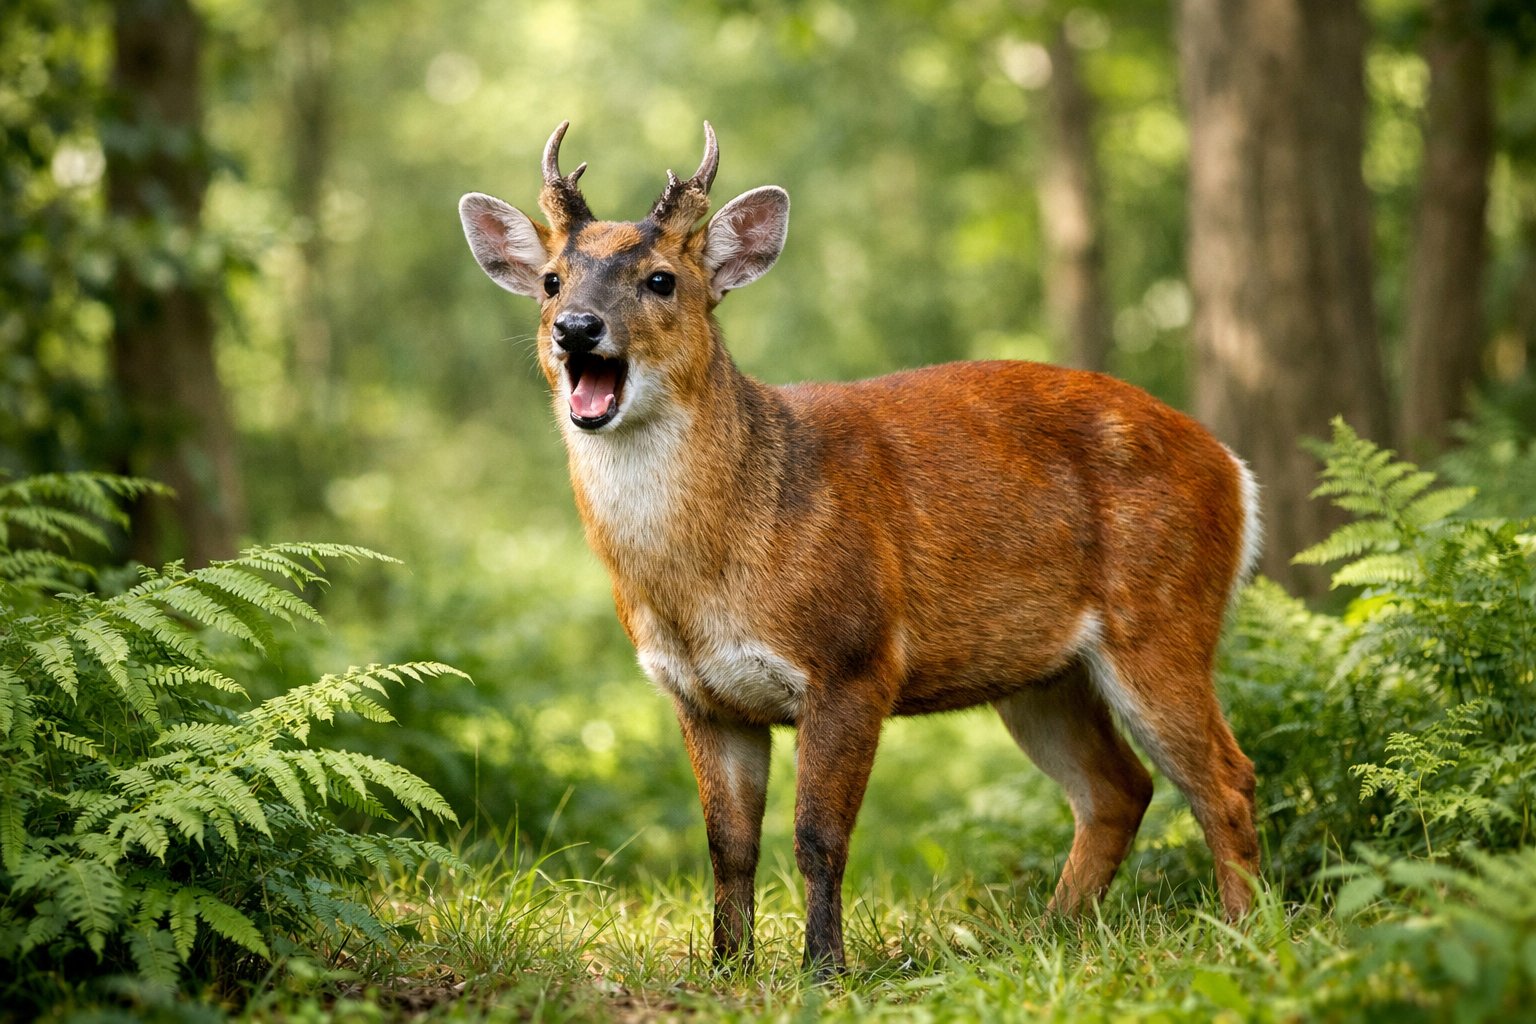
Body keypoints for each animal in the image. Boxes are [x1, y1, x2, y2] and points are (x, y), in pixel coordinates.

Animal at [458, 122, 1262, 979]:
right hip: (1045, 675)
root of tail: (1233, 470)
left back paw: (1241, 936)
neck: (712, 573)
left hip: (1163, 618)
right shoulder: (700, 694)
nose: (577, 328)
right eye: (551, 280)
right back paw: (1052, 935)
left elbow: (819, 837)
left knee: (1225, 778)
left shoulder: (854, 657)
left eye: (662, 280)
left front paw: (824, 970)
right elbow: (728, 846)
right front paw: (727, 967)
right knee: (1118, 789)